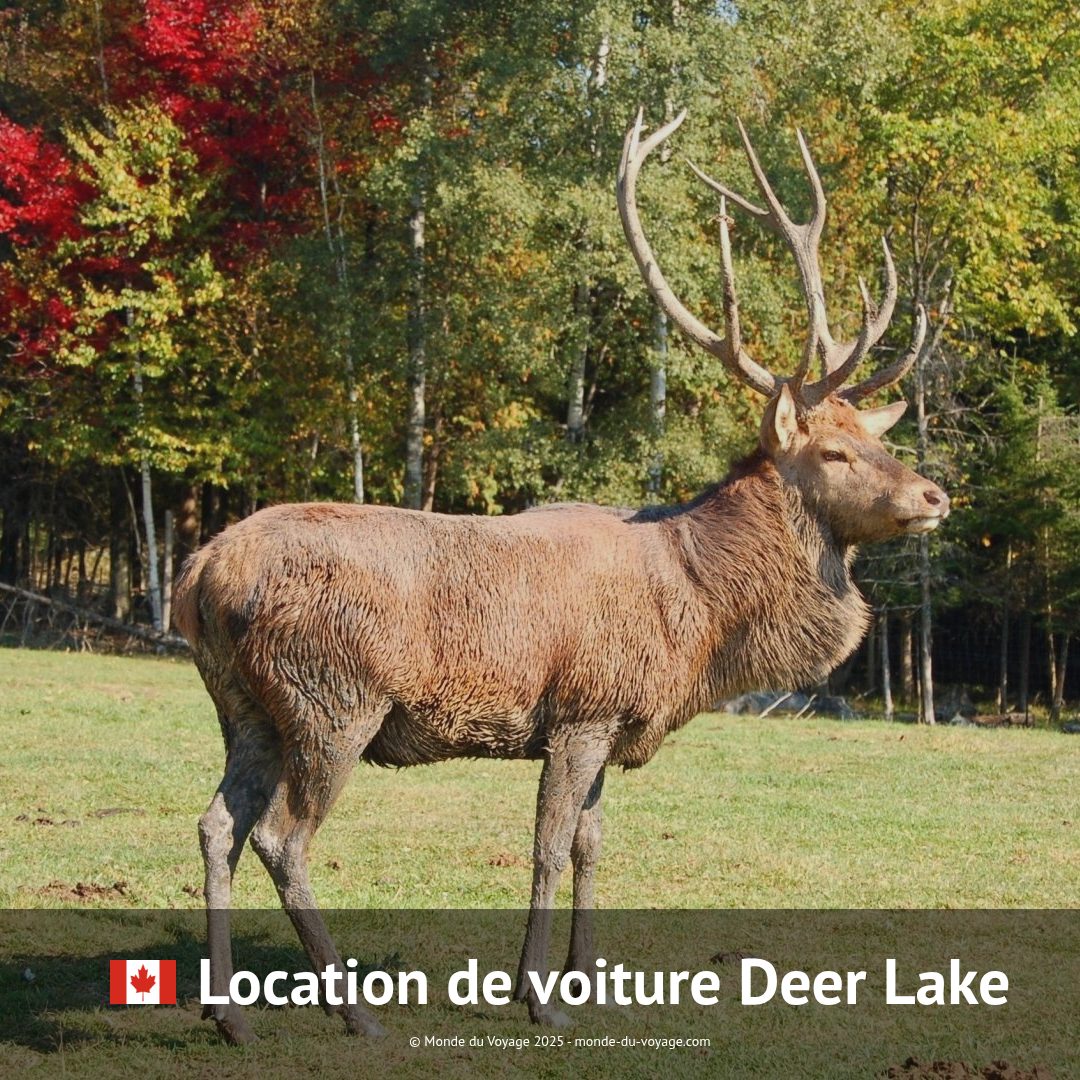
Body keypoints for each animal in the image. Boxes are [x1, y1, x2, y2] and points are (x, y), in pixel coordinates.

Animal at [174, 108, 949, 1043]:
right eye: (834, 452)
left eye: (875, 437)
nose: (934, 494)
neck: (696, 614)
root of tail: (198, 574)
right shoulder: (582, 709)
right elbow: (546, 845)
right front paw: (539, 995)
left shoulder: (615, 719)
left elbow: (590, 843)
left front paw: (587, 979)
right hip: (334, 698)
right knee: (281, 835)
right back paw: (354, 1011)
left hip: (245, 705)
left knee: (217, 822)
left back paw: (228, 1011)